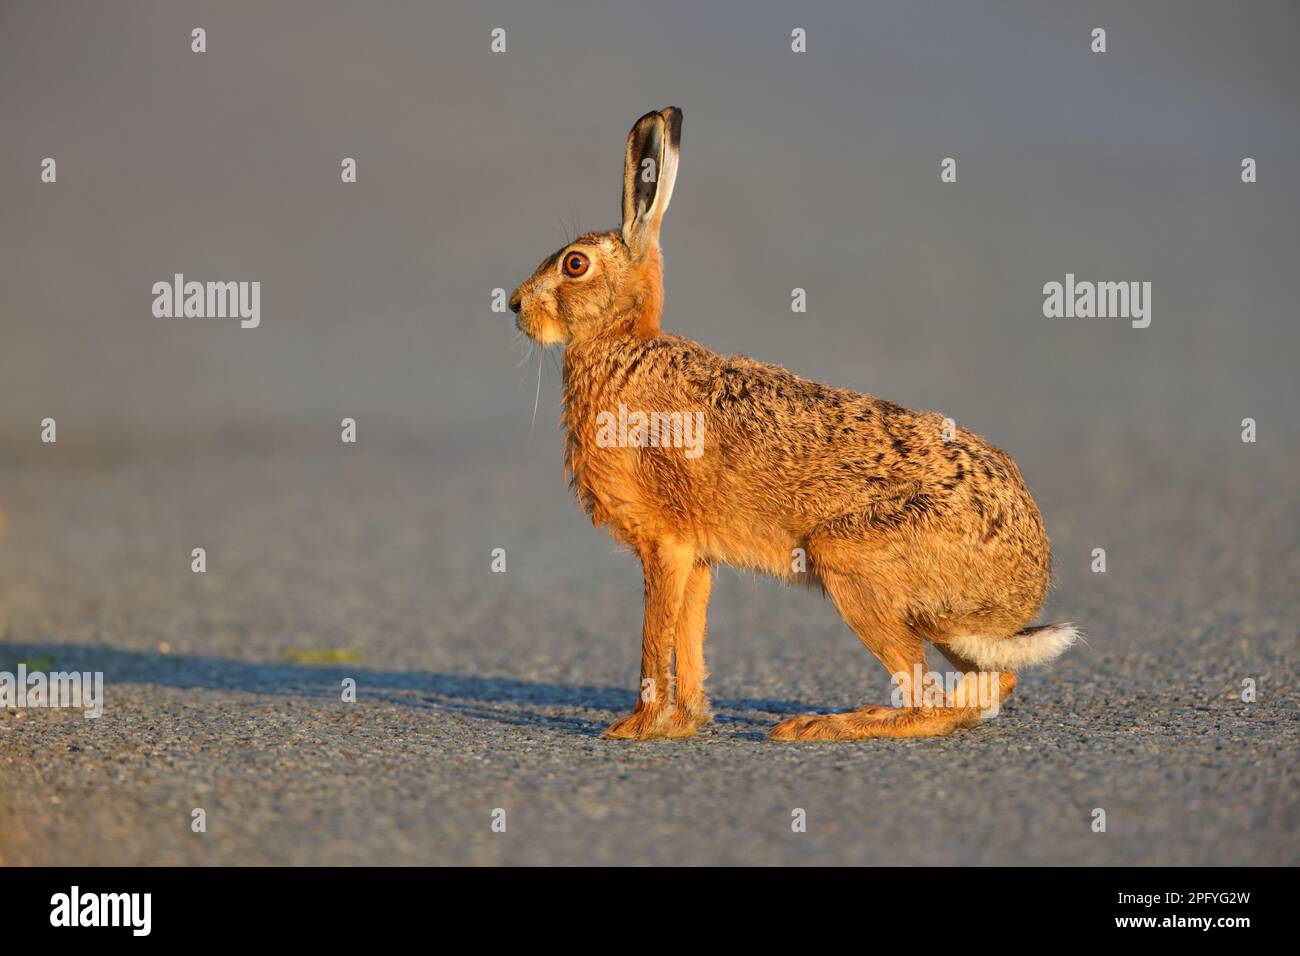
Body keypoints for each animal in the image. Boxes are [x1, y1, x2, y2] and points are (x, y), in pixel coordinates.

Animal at [509, 107, 1078, 740]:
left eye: (574, 265)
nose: (513, 305)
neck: (620, 344)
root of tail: (1023, 589)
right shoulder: (696, 557)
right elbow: (690, 635)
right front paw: (686, 722)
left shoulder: (666, 545)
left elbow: (655, 639)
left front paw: (636, 728)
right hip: (940, 621)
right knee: (990, 683)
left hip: (848, 559)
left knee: (924, 699)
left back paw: (828, 725)